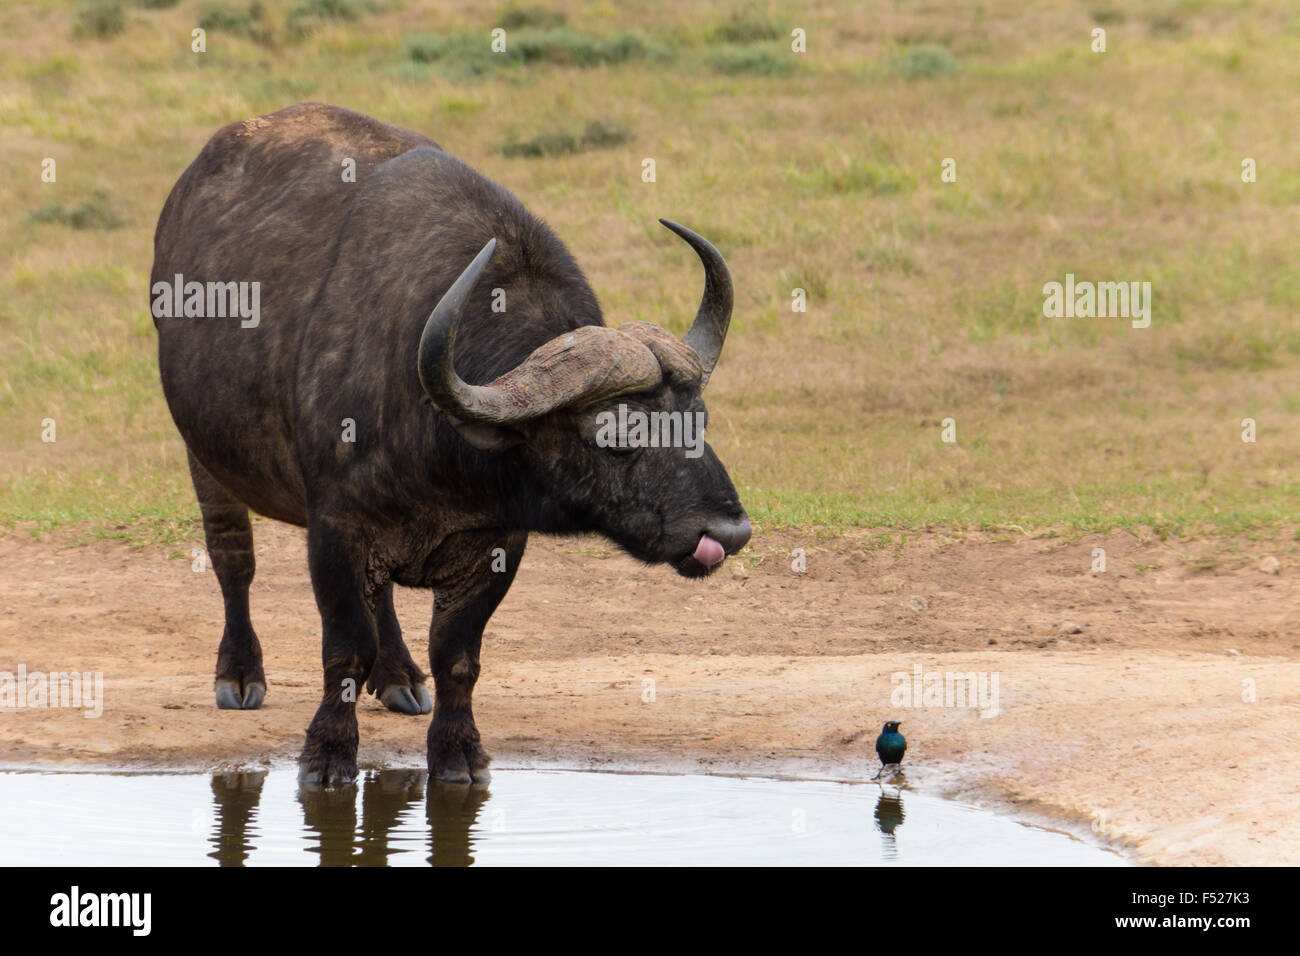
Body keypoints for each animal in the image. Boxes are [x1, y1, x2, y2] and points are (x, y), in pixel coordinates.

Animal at [152, 103, 750, 785]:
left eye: (698, 422)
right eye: (617, 434)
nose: (728, 532)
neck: (442, 443)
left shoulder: (496, 543)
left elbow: (457, 656)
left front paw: (458, 752)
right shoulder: (335, 529)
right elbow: (345, 650)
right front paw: (327, 753)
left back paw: (399, 678)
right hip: (204, 458)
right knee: (234, 560)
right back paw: (240, 672)